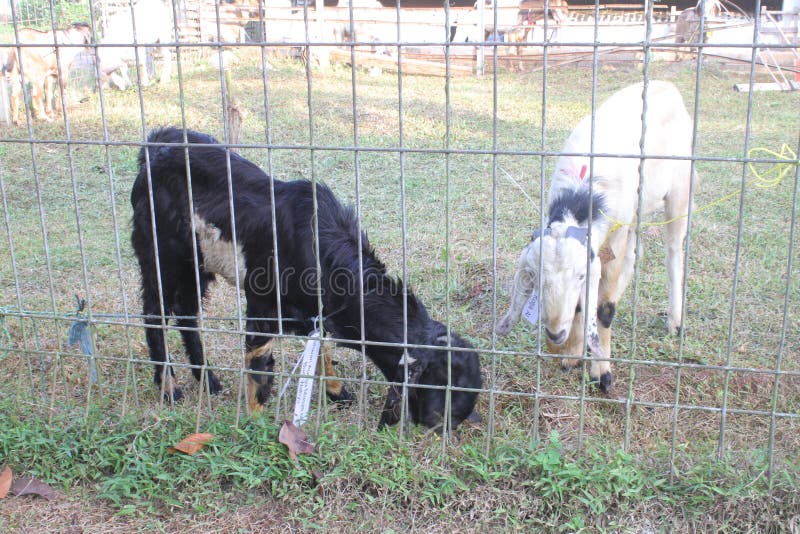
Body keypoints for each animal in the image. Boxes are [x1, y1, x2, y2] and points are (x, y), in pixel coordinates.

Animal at [131, 127, 482, 430]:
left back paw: (209, 381)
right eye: (442, 392)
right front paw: (256, 421)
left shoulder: (316, 314)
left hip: (198, 265)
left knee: (187, 314)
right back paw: (169, 388)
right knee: (155, 313)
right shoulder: (262, 303)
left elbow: (320, 348)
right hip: (160, 253)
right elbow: (259, 363)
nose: (442, 429)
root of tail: (154, 147)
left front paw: (338, 393)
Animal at [496, 81, 696, 392]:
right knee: (634, 256)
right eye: (536, 276)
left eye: (580, 275)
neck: (582, 194)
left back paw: (675, 321)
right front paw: (573, 354)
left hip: (679, 189)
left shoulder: (614, 234)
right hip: (636, 212)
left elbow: (603, 308)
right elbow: (586, 301)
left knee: (673, 251)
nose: (555, 334)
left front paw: (601, 373)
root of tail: (666, 85)